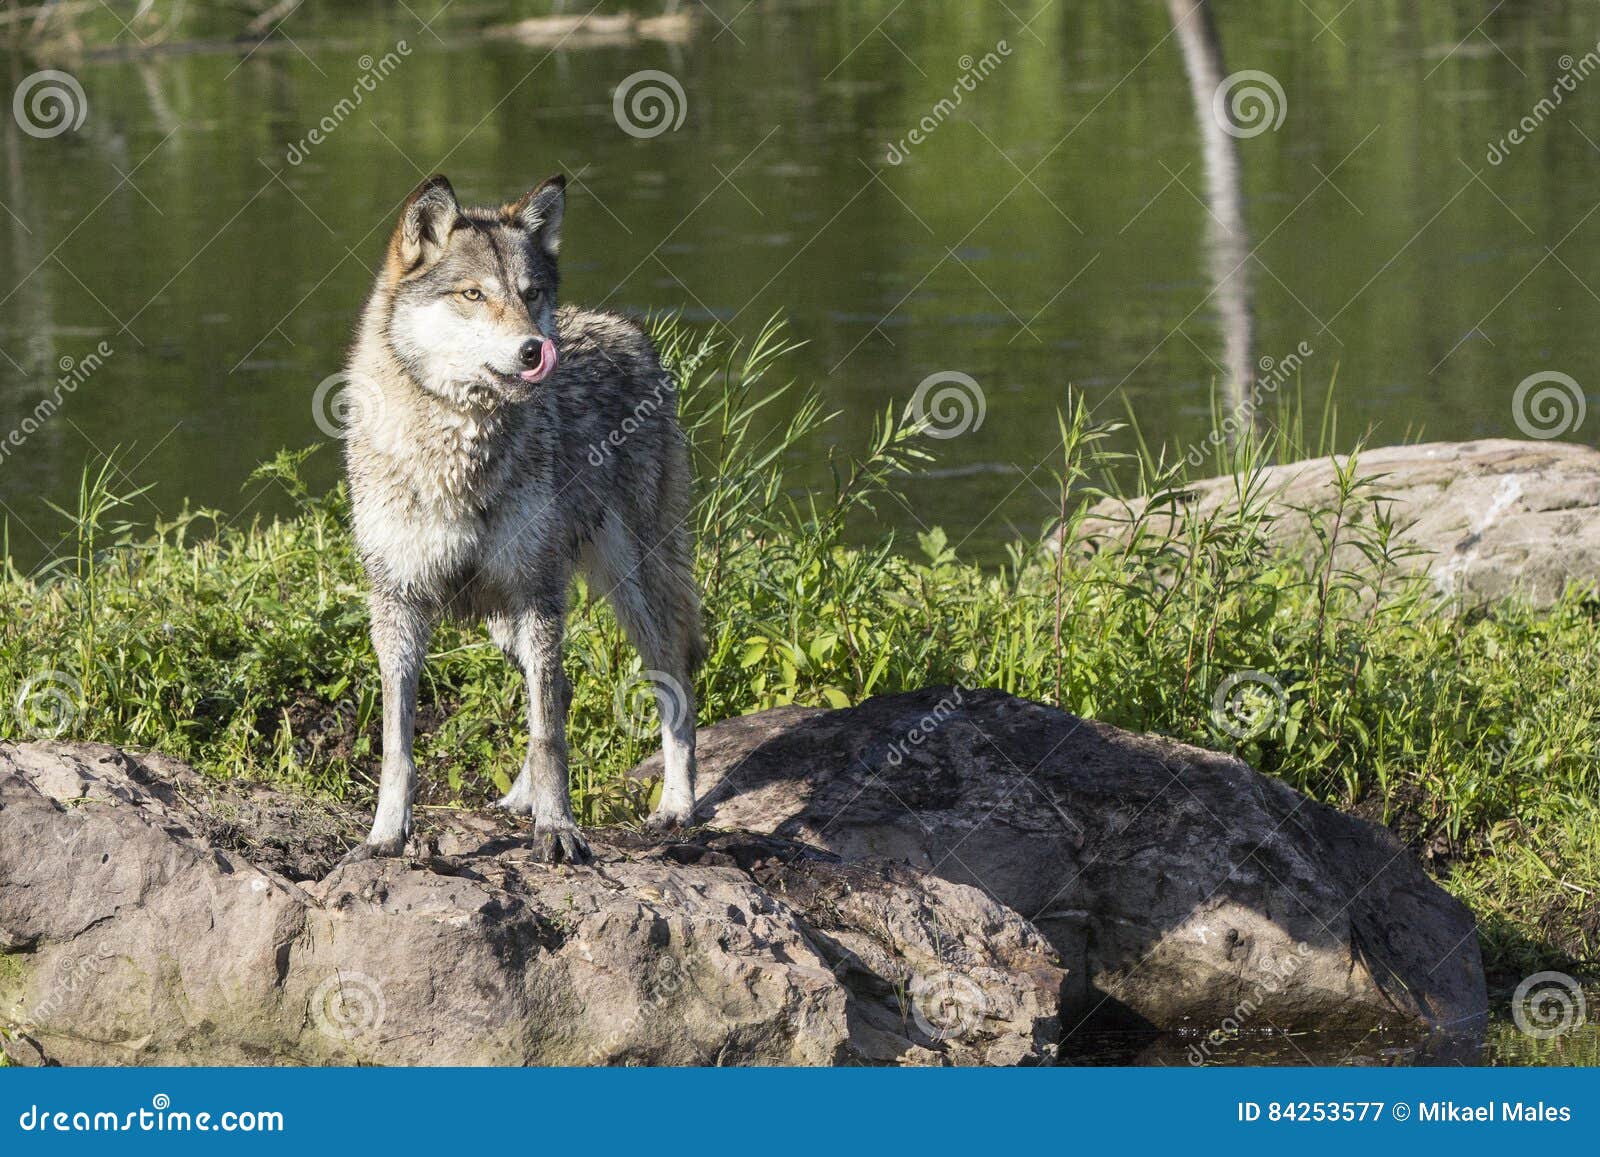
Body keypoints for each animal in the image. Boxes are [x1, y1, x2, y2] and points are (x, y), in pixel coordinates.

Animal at [339, 172, 706, 864]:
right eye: (473, 294)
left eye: (530, 294)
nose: (537, 350)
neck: (460, 451)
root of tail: (628, 330)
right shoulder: (398, 602)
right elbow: (399, 744)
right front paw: (385, 835)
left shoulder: (537, 594)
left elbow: (549, 737)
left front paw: (557, 830)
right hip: (509, 618)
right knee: (560, 690)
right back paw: (518, 800)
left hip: (623, 590)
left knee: (671, 682)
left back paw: (676, 807)